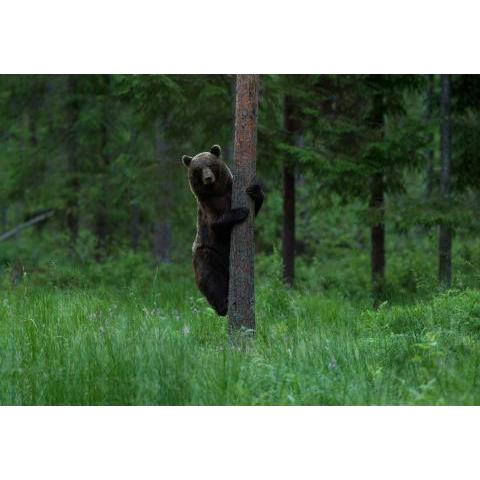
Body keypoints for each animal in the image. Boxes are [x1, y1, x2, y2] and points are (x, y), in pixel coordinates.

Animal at [181, 143, 262, 316]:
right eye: (198, 169)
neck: (216, 192)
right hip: (207, 252)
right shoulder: (207, 208)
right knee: (210, 278)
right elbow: (217, 224)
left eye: (210, 165)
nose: (208, 178)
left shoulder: (230, 191)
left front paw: (255, 191)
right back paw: (223, 306)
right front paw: (241, 211)